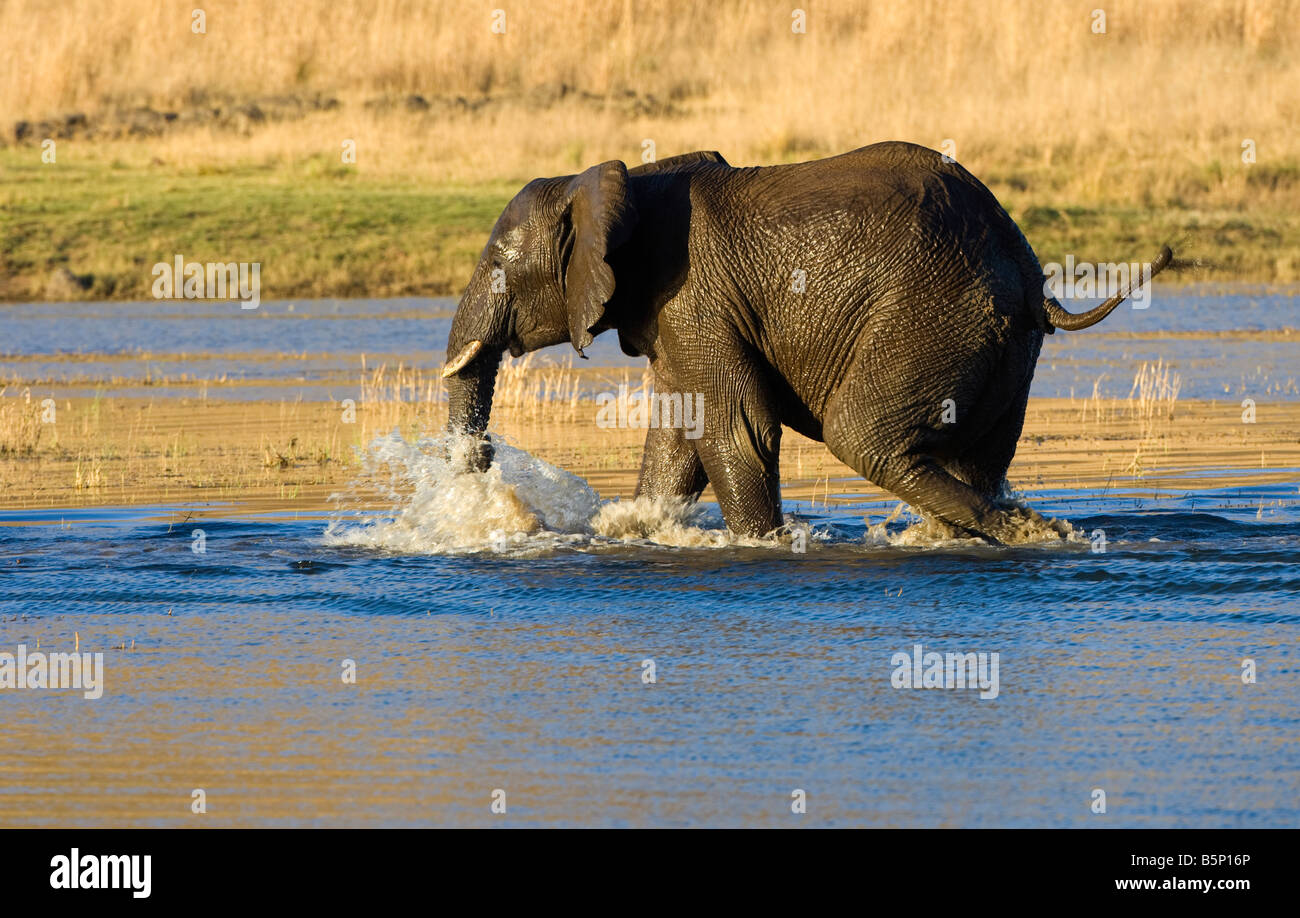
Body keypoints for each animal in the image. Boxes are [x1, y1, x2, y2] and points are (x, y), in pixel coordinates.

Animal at [440, 141, 1171, 543]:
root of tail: (1026, 271)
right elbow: (679, 440)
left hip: (933, 315)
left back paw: (1023, 532)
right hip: (1000, 345)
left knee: (866, 437)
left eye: (499, 265)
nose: (485, 466)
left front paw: (763, 544)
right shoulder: (677, 317)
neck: (615, 184)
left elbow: (735, 429)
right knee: (975, 458)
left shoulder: (697, 298)